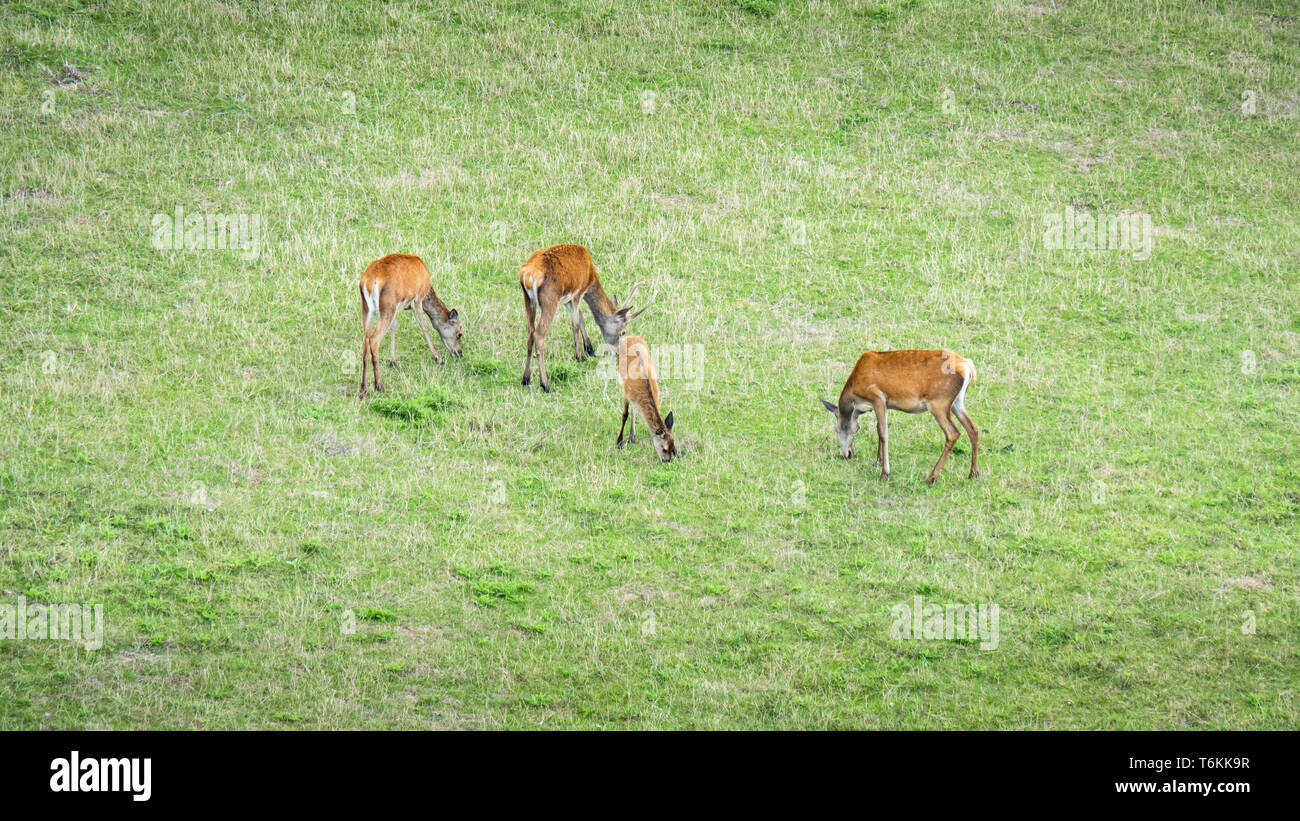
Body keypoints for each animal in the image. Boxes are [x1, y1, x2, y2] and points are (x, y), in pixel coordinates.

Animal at [358, 254, 462, 398]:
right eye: (459, 334)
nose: (459, 353)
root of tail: (369, 282)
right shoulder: (417, 299)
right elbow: (425, 327)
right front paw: (438, 358)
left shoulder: (398, 307)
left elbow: (394, 327)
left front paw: (393, 361)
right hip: (387, 306)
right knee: (374, 339)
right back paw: (379, 386)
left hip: (367, 308)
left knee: (365, 341)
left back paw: (363, 389)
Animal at [519, 244, 652, 393]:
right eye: (623, 332)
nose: (618, 353)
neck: (591, 276)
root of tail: (528, 275)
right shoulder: (578, 291)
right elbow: (575, 323)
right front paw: (579, 356)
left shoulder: (567, 299)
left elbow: (580, 316)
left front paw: (589, 349)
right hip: (550, 300)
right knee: (539, 334)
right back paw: (545, 385)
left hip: (528, 299)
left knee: (530, 332)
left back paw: (526, 379)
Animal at [820, 349, 978, 483]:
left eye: (838, 428)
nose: (847, 454)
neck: (855, 388)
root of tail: (967, 367)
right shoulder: (886, 404)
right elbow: (878, 428)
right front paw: (878, 461)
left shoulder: (877, 397)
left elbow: (883, 433)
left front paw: (885, 473)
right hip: (957, 402)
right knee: (973, 428)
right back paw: (973, 473)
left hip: (938, 403)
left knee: (953, 433)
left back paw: (931, 477)